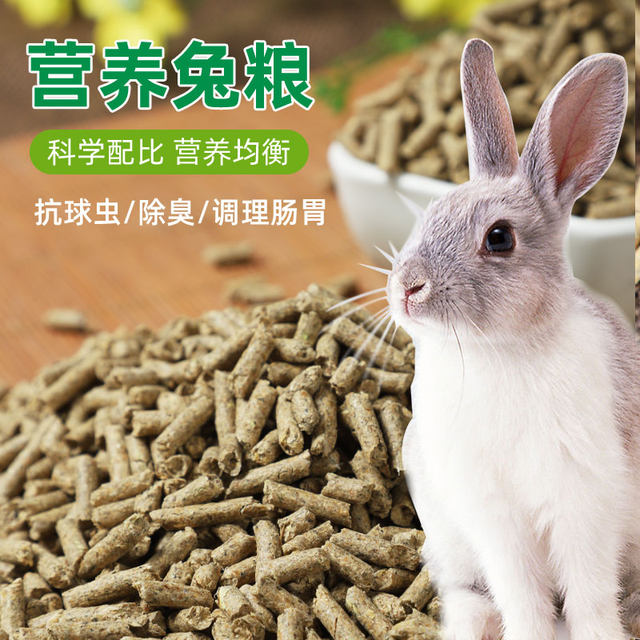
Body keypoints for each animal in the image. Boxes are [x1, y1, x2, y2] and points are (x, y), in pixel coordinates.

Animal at [387, 38, 640, 640]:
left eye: (499, 238)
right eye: (428, 215)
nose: (407, 287)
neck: (499, 351)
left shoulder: (582, 501)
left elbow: (588, 591)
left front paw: (599, 635)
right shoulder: (493, 517)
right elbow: (521, 591)